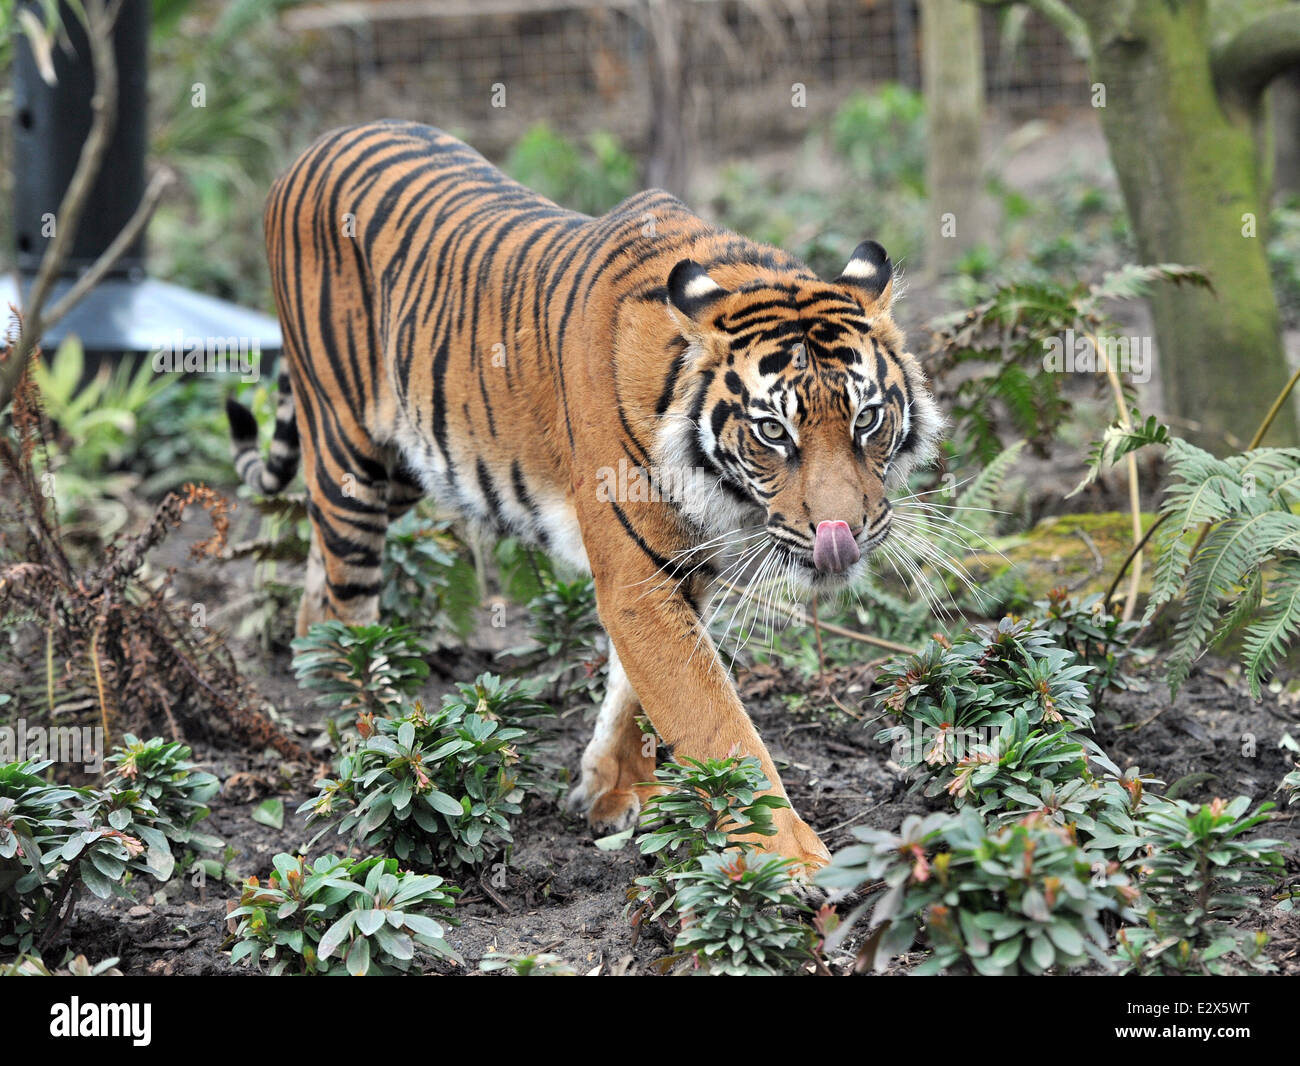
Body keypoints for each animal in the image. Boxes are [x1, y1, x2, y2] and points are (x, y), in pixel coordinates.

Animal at [227, 120, 942, 872]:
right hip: (349, 451)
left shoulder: (677, 571)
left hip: (405, 465)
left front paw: (615, 791)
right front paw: (795, 862)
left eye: (867, 418)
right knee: (350, 595)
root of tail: (320, 143)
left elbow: (637, 693)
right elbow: (715, 719)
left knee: (321, 577)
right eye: (773, 431)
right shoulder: (637, 578)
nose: (844, 533)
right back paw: (374, 737)